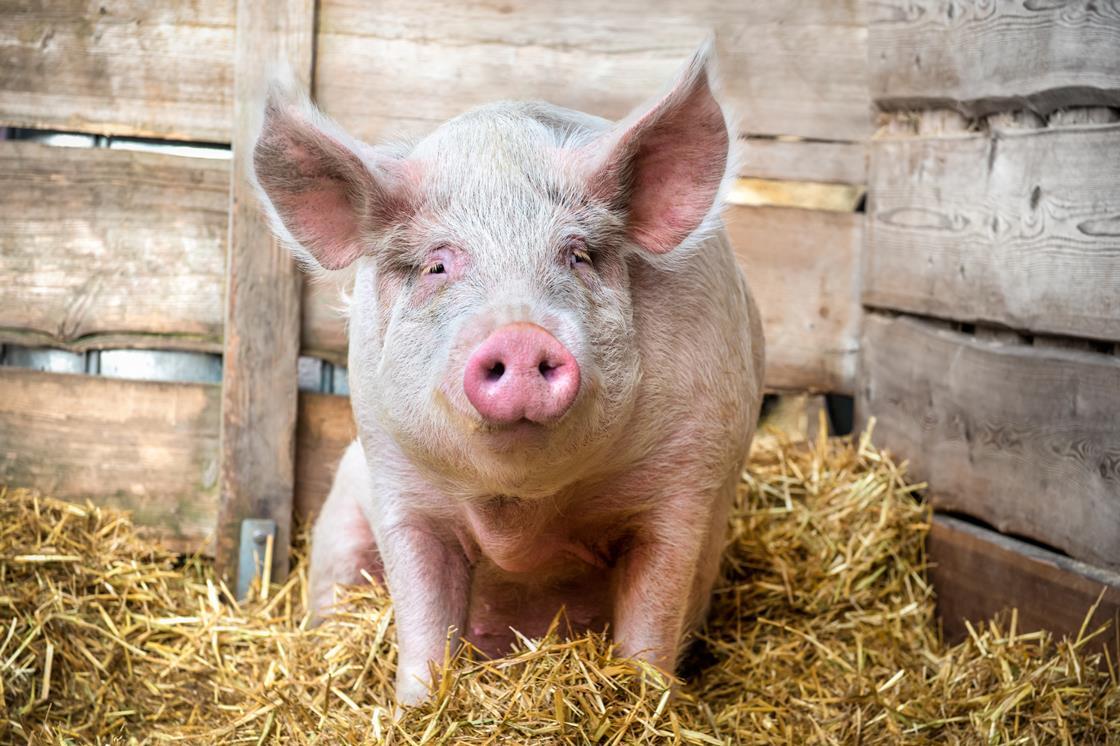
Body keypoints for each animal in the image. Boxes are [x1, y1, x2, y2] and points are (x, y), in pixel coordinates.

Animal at [252, 42, 764, 705]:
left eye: (577, 255)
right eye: (438, 265)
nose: (521, 333)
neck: (522, 513)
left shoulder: (687, 479)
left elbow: (652, 619)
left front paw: (645, 700)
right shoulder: (396, 478)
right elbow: (422, 618)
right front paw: (416, 708)